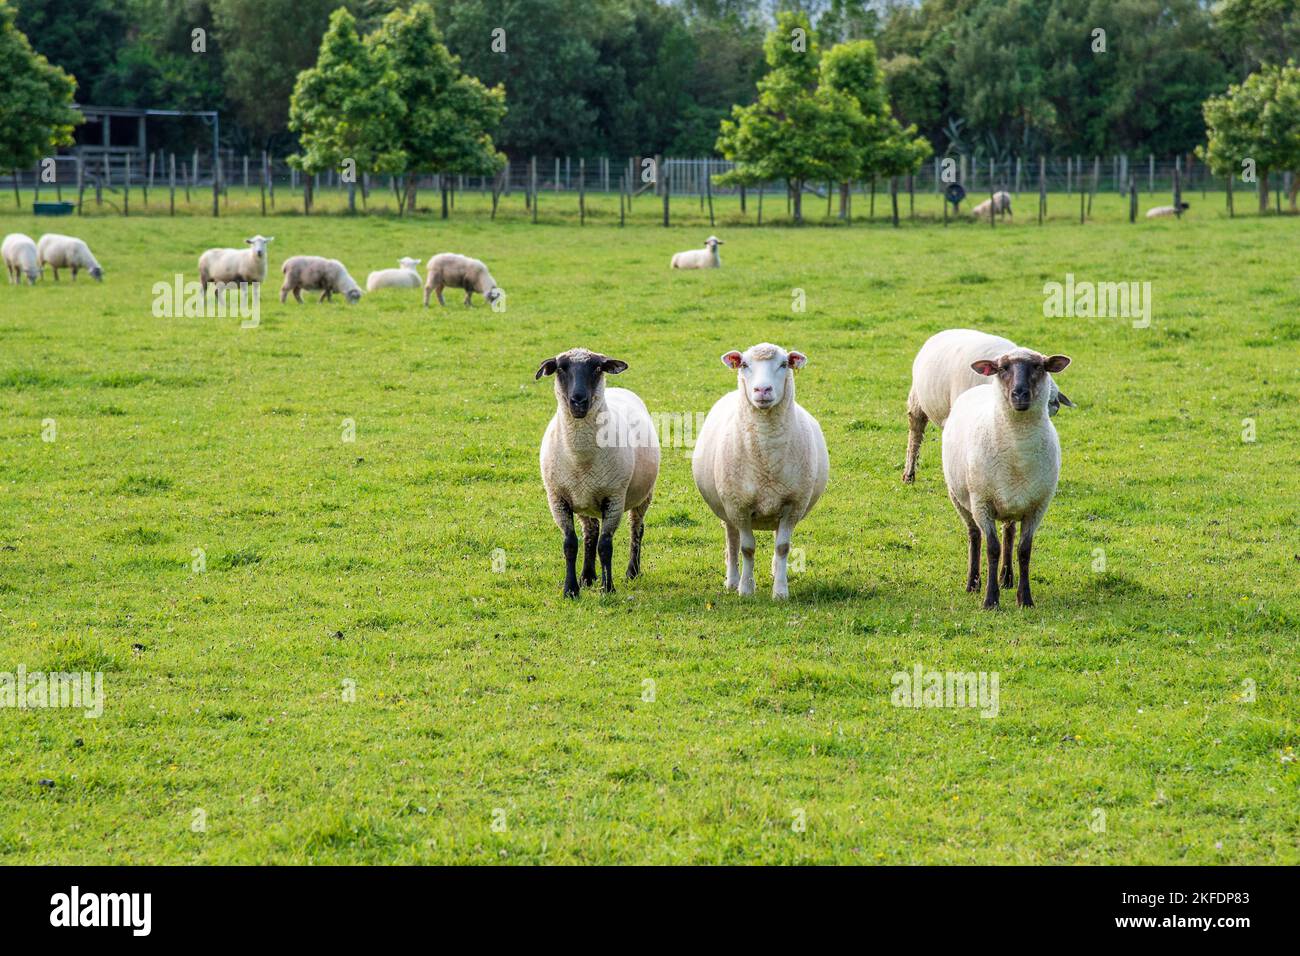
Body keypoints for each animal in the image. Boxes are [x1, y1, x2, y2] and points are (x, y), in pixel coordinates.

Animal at [536, 348, 660, 598]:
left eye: (597, 368)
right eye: (561, 368)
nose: (578, 401)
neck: (580, 457)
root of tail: (619, 389)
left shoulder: (614, 498)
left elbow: (605, 546)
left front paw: (608, 588)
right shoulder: (558, 498)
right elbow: (570, 544)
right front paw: (571, 589)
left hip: (643, 495)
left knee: (636, 529)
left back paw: (632, 571)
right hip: (584, 499)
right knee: (590, 533)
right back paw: (587, 576)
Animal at [692, 343, 828, 599]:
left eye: (784, 364)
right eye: (745, 364)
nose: (762, 389)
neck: (767, 460)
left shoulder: (792, 505)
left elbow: (783, 547)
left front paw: (781, 591)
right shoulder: (739, 507)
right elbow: (747, 548)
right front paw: (746, 589)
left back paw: (776, 572)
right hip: (727, 510)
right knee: (732, 541)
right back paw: (732, 580)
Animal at [940, 347, 1072, 609]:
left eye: (1039, 367)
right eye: (1002, 368)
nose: (1019, 394)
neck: (1018, 451)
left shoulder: (1037, 507)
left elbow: (1024, 550)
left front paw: (1025, 598)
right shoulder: (982, 503)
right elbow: (992, 549)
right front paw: (991, 600)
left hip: (1010, 501)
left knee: (1009, 533)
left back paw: (1007, 578)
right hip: (961, 499)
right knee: (974, 535)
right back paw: (973, 583)